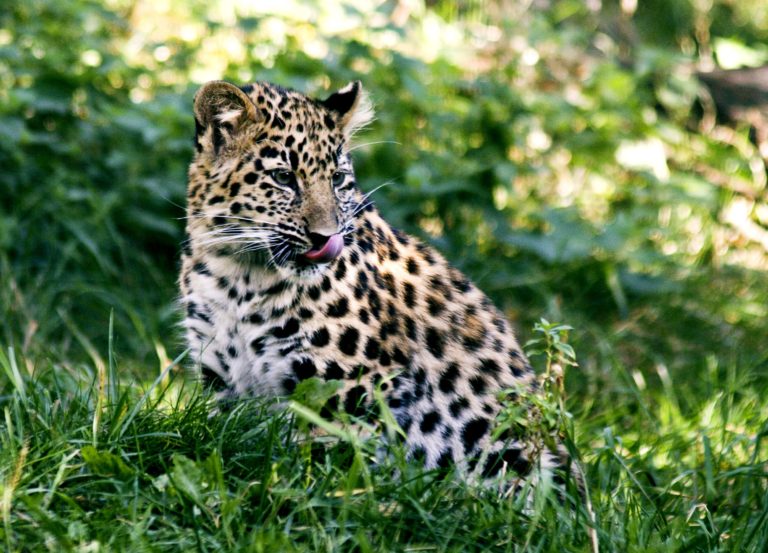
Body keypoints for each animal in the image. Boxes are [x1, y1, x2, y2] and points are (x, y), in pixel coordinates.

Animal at [179, 79, 578, 490]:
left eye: (337, 179)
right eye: (283, 178)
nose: (326, 237)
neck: (242, 277)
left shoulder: (351, 386)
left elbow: (328, 459)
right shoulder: (223, 382)